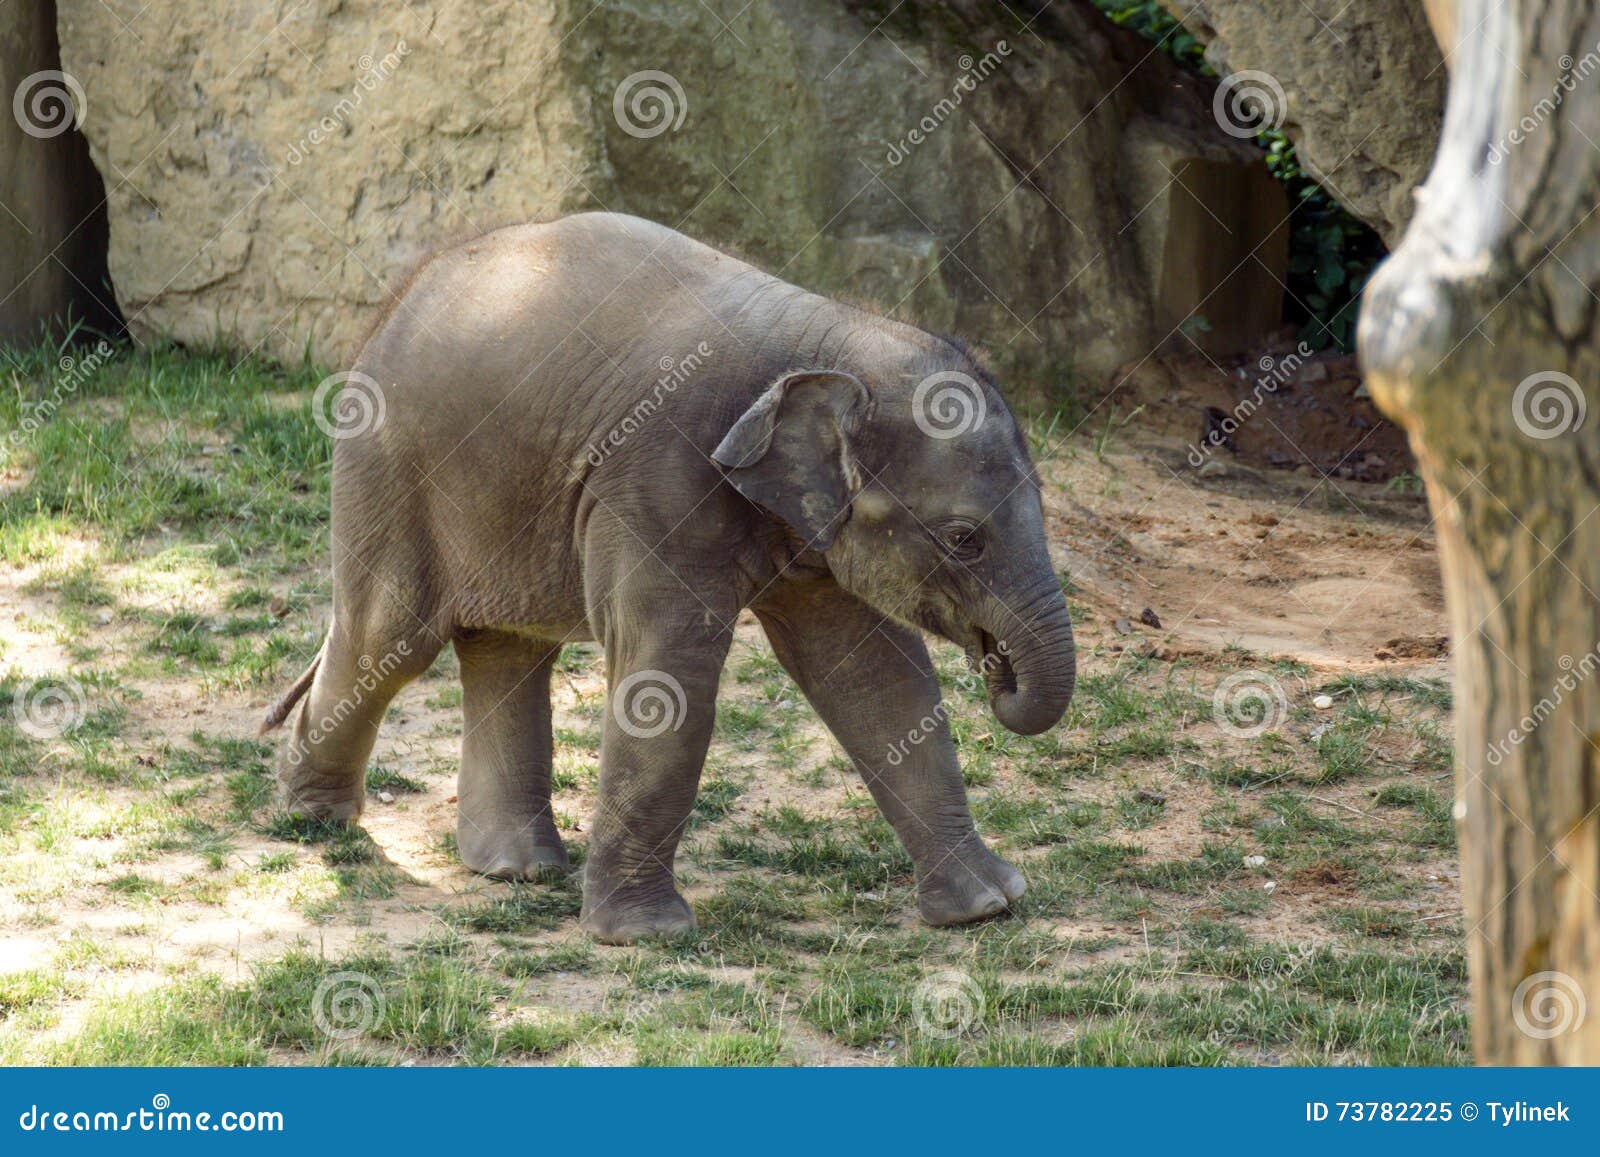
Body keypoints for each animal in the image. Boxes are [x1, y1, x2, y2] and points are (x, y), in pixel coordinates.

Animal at [262, 212, 1076, 944]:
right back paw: (317, 819)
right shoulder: (657, 479)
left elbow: (874, 676)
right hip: (389, 469)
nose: (999, 668)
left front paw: (986, 906)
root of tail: (404, 289)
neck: (827, 336)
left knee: (505, 646)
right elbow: (668, 675)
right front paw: (645, 935)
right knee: (384, 640)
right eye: (964, 540)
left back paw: (515, 868)